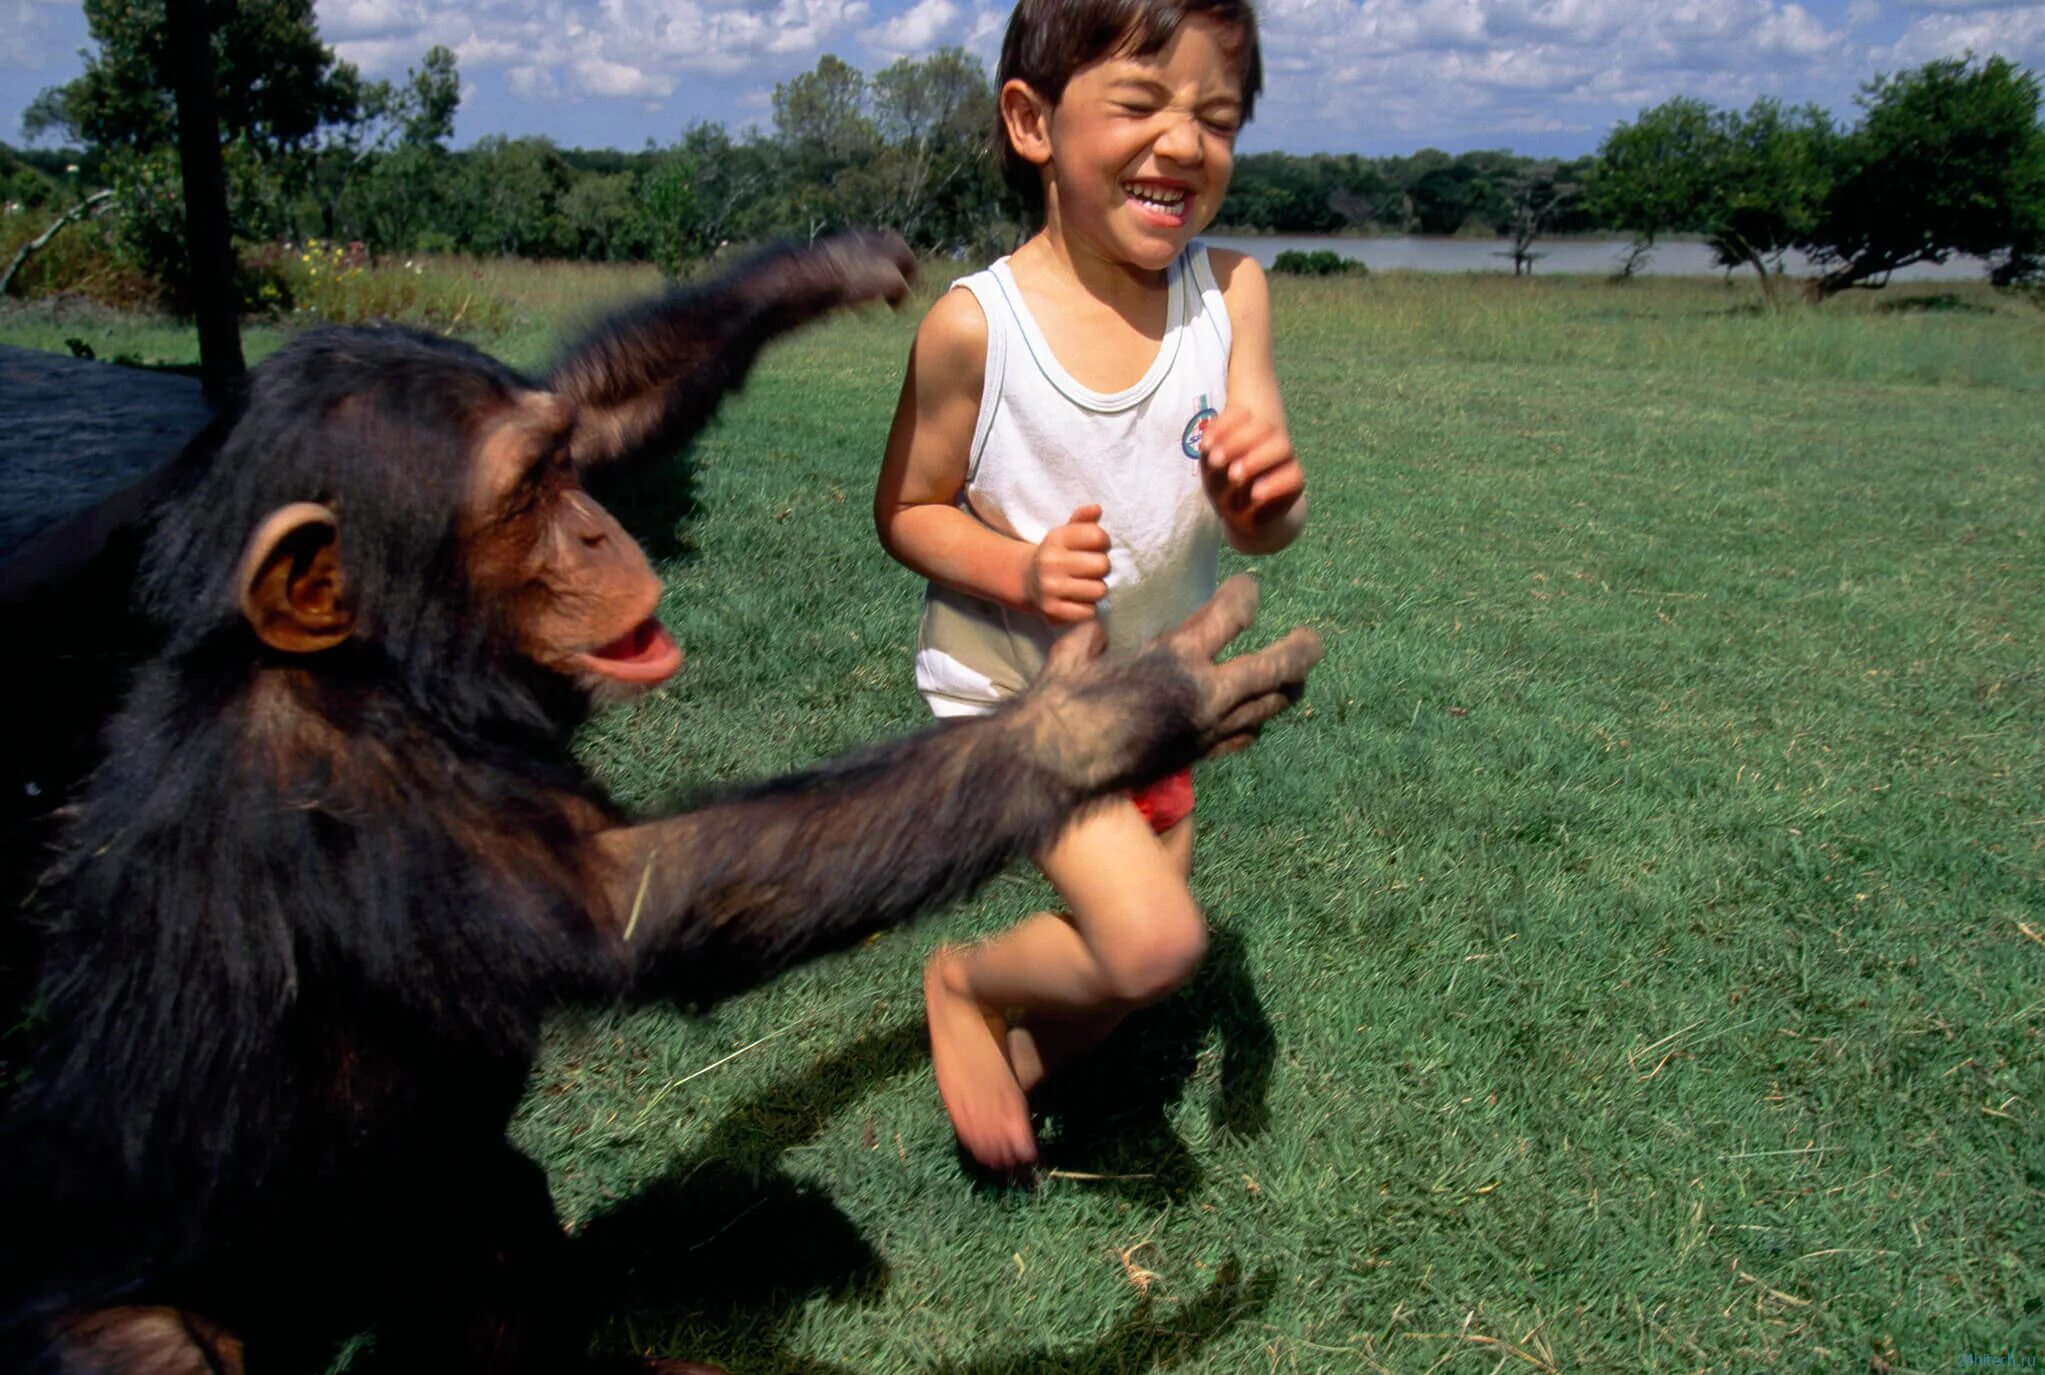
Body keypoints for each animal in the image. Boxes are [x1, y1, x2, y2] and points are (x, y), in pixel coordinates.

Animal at [0, 231, 1325, 1366]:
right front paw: (1108, 711)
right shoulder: (359, 793)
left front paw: (825, 267)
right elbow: (654, 894)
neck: (375, 678)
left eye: (554, 472)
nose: (594, 532)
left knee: (501, 1234)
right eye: (520, 501)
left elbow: (592, 400)